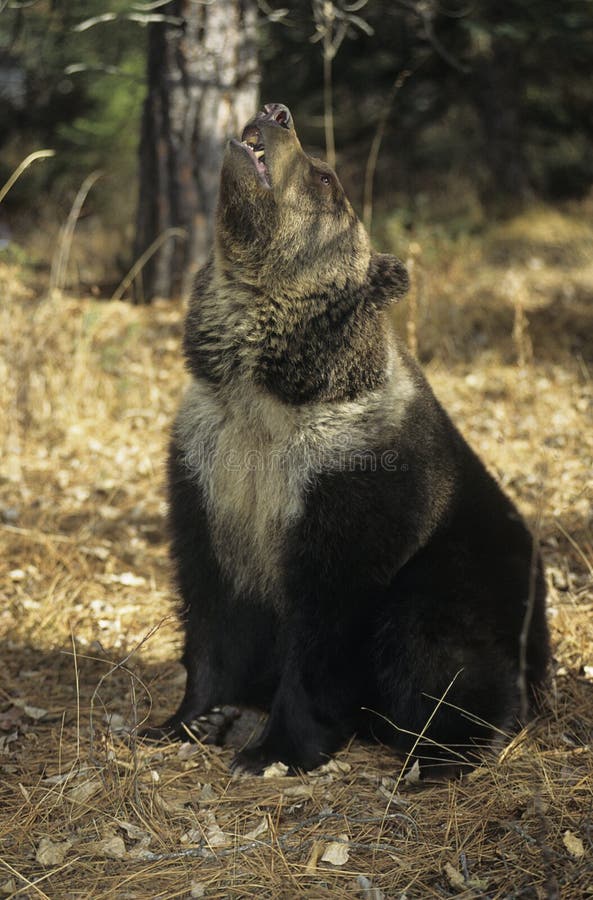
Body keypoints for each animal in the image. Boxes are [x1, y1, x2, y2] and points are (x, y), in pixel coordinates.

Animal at [142, 102, 550, 777]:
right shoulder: (210, 465)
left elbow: (329, 616)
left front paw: (272, 750)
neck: (272, 388)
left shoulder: (353, 474)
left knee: (436, 640)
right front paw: (191, 718)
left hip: (473, 570)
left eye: (326, 175)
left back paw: (439, 752)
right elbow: (209, 597)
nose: (276, 111)